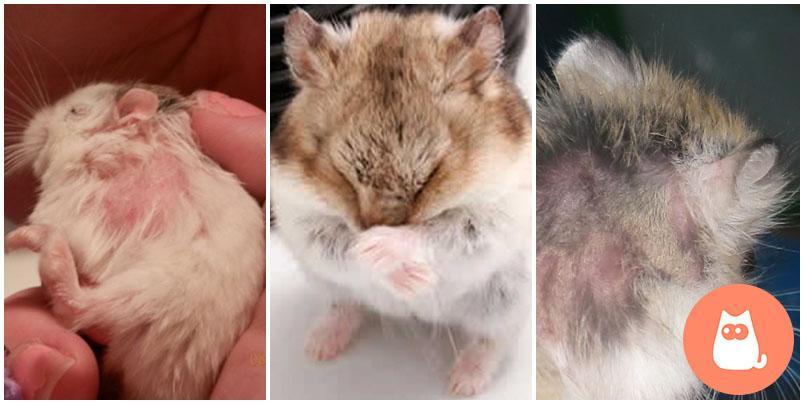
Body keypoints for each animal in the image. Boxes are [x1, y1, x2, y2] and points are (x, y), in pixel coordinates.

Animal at [271, 8, 531, 396]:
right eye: (342, 174)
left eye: (433, 174)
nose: (375, 225)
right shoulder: (302, 215)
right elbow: (342, 245)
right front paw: (395, 269)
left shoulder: (493, 216)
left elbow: (441, 234)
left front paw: (394, 257)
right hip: (326, 283)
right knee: (345, 306)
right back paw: (318, 348)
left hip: (507, 301)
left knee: (493, 341)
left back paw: (462, 383)